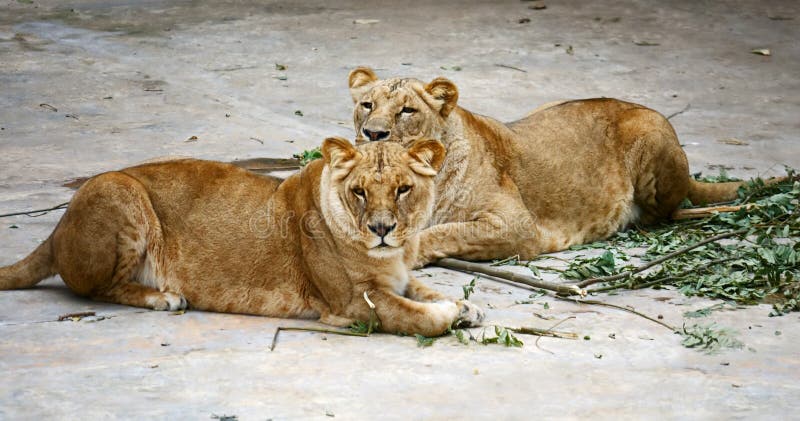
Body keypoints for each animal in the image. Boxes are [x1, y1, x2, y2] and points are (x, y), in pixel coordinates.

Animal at [0, 137, 484, 336]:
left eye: (403, 189)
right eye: (360, 191)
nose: (381, 229)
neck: (392, 253)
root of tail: (56, 228)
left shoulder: (397, 277)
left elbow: (424, 289)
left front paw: (465, 306)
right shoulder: (353, 303)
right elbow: (417, 316)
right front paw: (449, 313)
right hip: (119, 190)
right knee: (96, 289)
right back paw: (165, 298)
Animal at [348, 67, 764, 267]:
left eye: (407, 110)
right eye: (367, 105)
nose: (373, 133)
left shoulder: (518, 226)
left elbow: (444, 232)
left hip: (650, 137)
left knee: (668, 212)